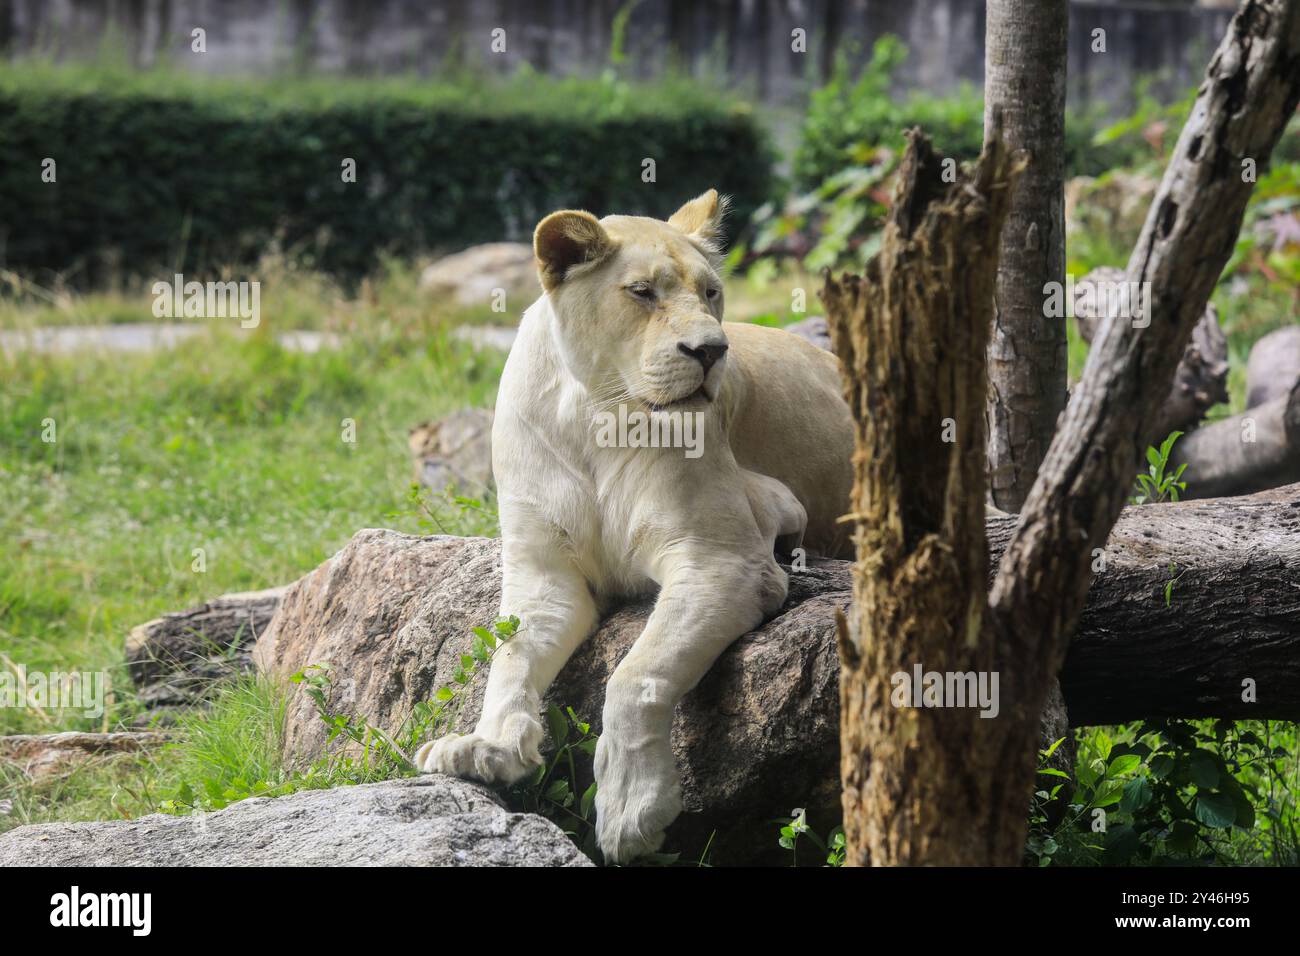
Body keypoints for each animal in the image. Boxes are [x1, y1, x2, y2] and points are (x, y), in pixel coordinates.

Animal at [415, 190, 854, 863]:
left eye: (712, 293)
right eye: (642, 292)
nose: (712, 351)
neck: (598, 412)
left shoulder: (726, 558)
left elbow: (637, 674)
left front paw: (631, 807)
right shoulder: (545, 576)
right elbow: (509, 656)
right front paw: (487, 746)